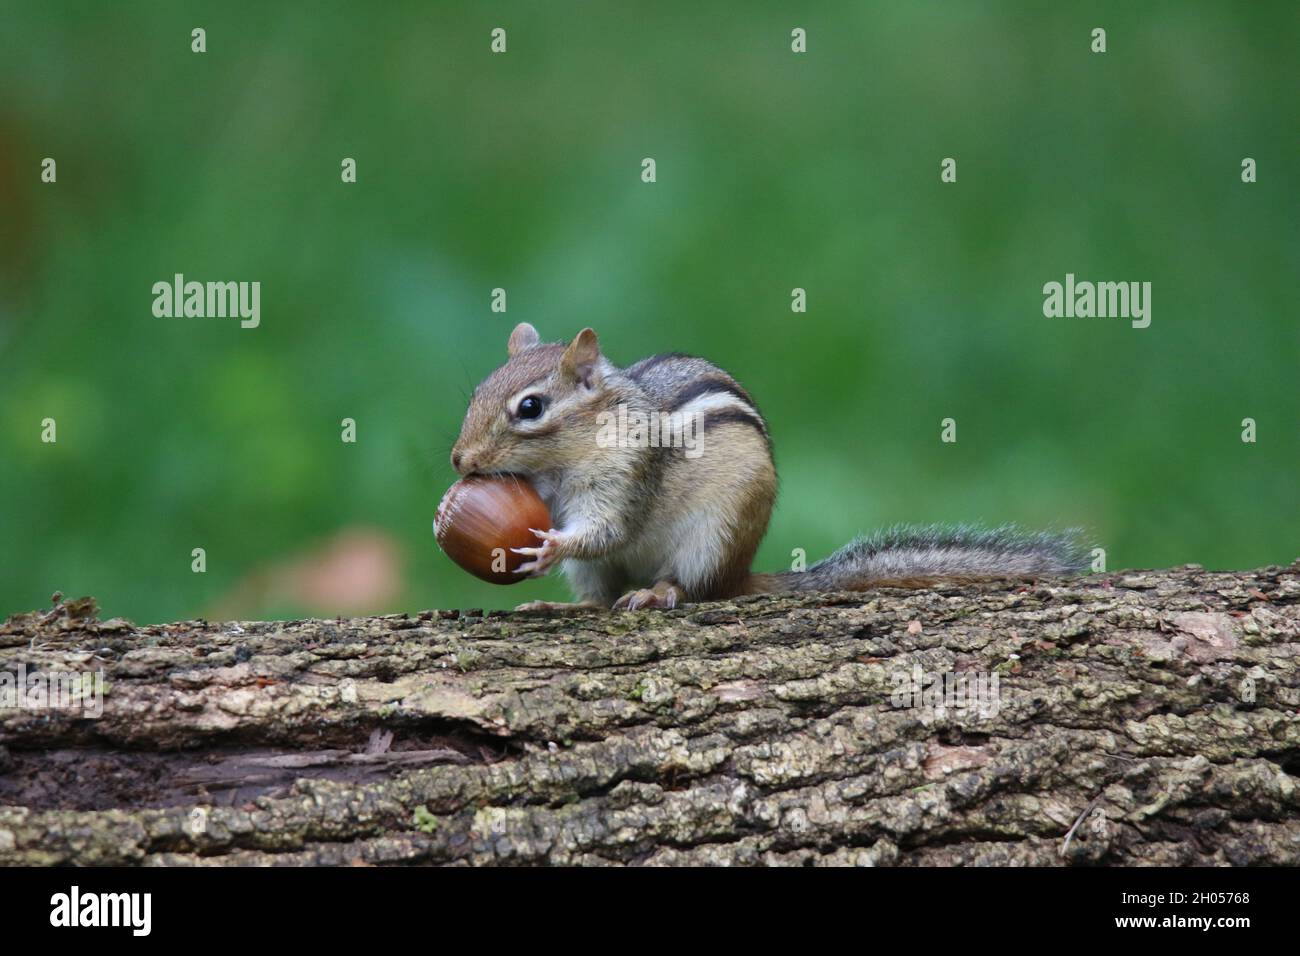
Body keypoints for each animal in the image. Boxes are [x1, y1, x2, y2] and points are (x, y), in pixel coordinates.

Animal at [451, 323, 1086, 611]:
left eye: (530, 408)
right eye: (476, 391)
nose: (459, 459)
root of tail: (741, 571)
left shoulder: (626, 475)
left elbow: (604, 529)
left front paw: (551, 546)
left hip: (713, 535)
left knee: (691, 589)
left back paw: (657, 594)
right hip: (610, 572)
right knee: (599, 599)